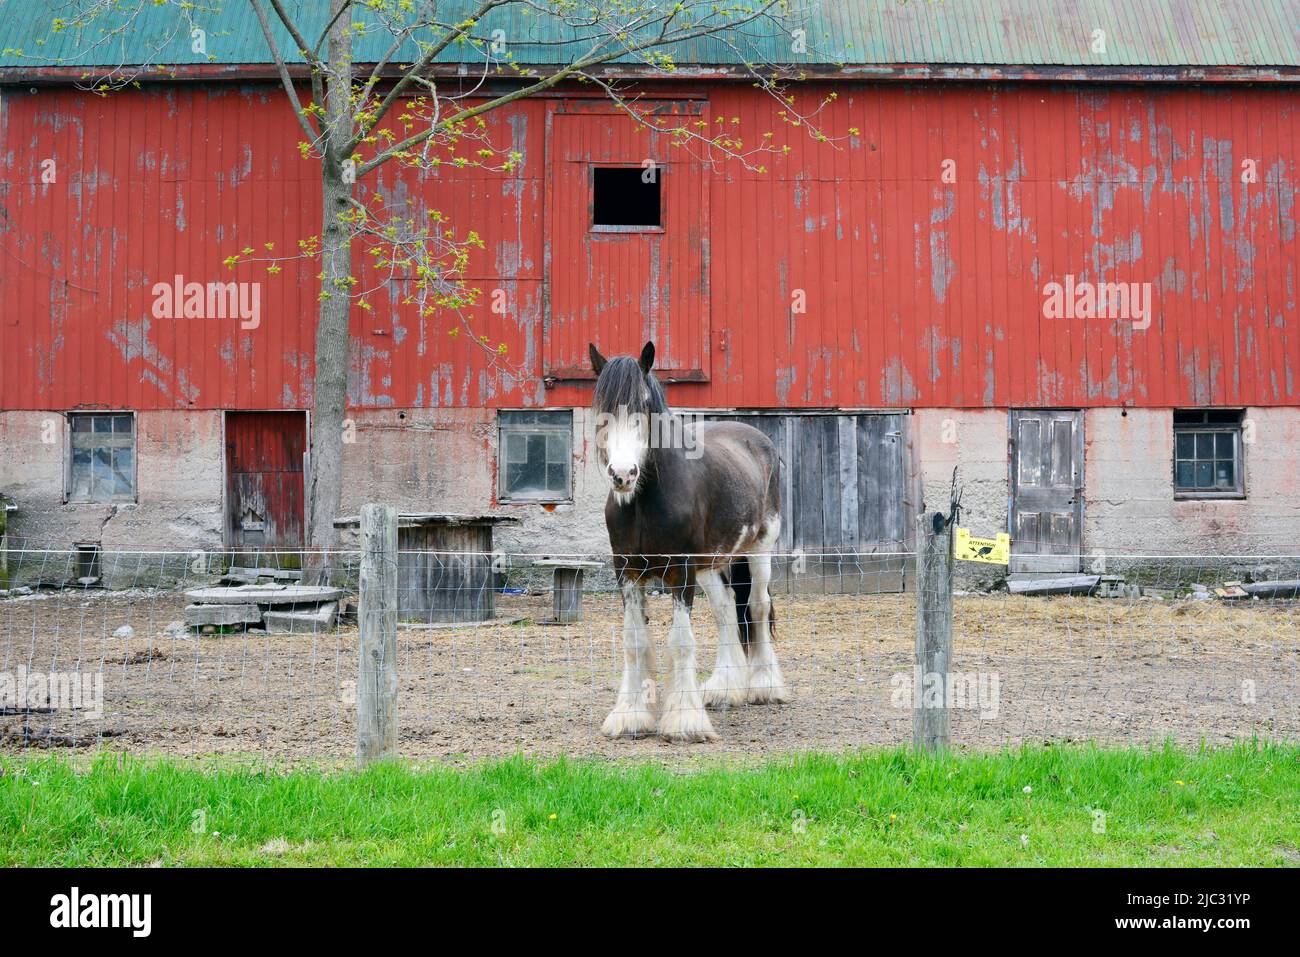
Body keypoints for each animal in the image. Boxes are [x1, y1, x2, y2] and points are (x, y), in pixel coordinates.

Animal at [589, 341, 789, 743]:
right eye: (603, 409)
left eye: (643, 405)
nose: (622, 474)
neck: (645, 500)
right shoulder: (627, 572)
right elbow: (634, 641)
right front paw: (630, 715)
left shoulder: (679, 570)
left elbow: (680, 641)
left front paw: (685, 721)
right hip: (711, 564)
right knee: (726, 610)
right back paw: (725, 689)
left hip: (759, 548)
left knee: (757, 607)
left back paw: (764, 685)